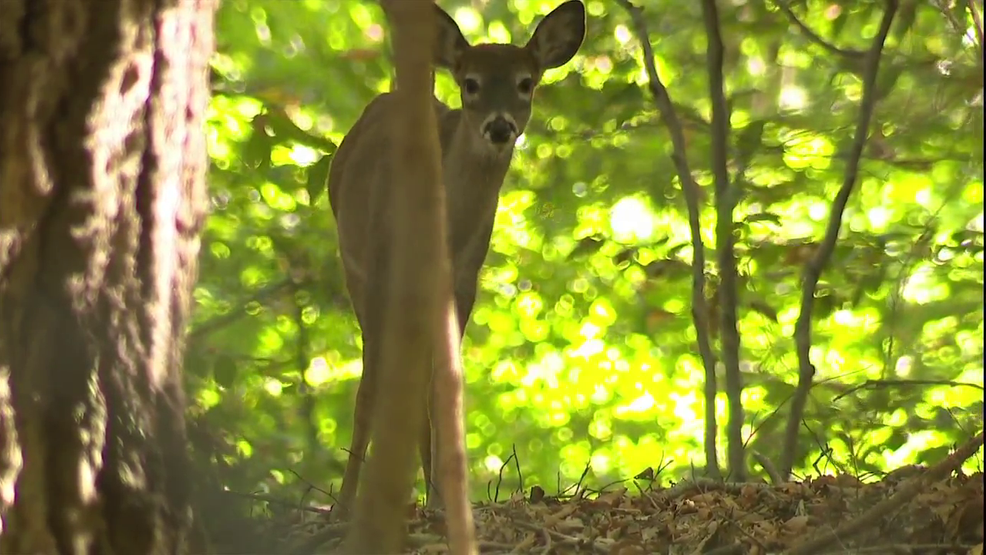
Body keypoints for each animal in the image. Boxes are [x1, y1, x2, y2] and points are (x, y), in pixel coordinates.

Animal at [327, 0, 586, 519]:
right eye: (471, 83)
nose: (500, 127)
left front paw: (442, 500)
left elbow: (440, 384)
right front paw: (344, 506)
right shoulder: (381, 270)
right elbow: (370, 389)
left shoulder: (464, 280)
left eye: (526, 82)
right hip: (355, 268)